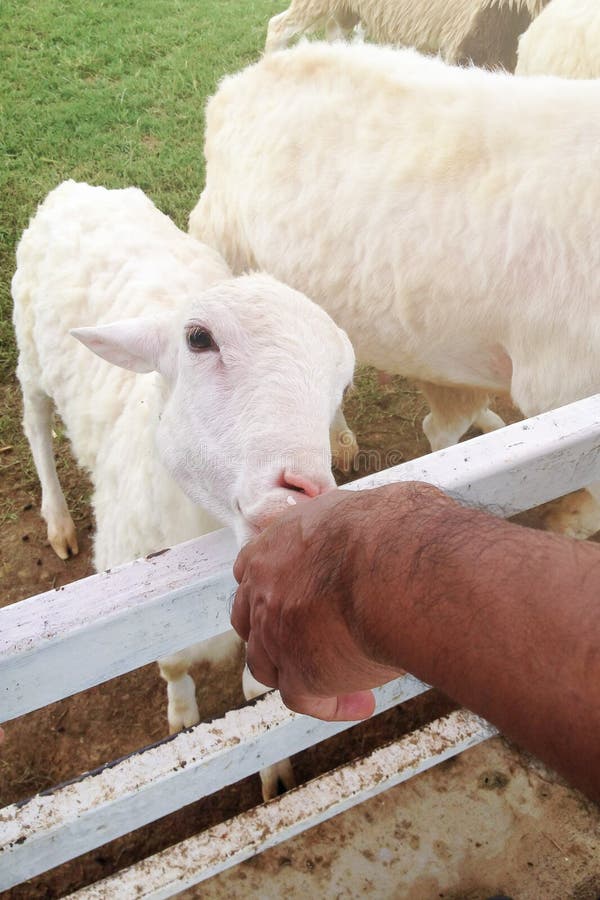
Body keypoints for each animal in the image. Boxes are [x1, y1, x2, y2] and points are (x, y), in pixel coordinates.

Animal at [12, 179, 356, 800]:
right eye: (198, 338)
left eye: (343, 383)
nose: (301, 496)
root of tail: (77, 188)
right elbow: (172, 666)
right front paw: (181, 719)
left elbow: (257, 697)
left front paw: (273, 774)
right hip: (30, 355)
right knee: (36, 424)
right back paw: (58, 521)